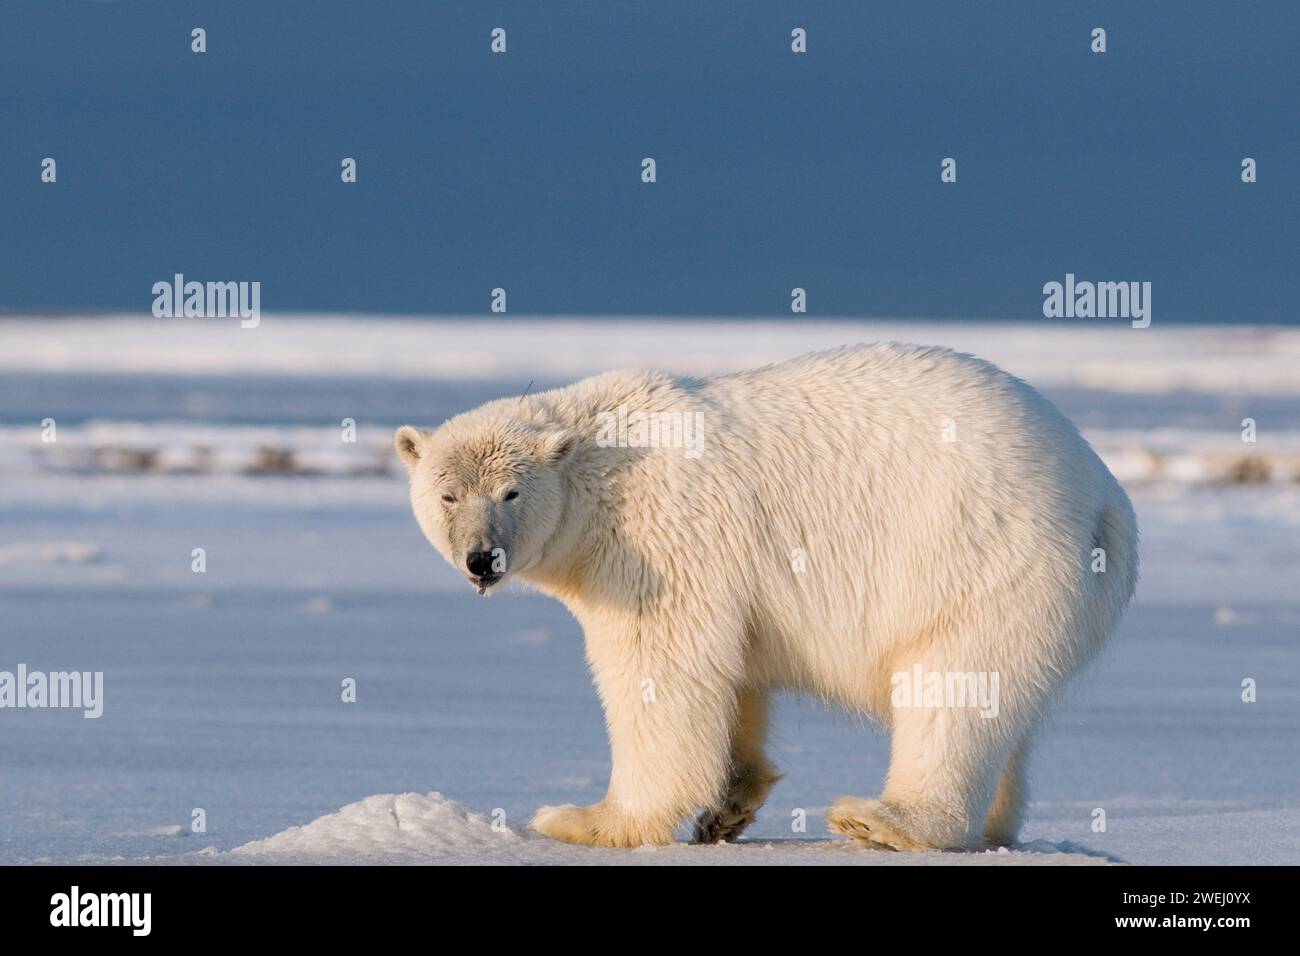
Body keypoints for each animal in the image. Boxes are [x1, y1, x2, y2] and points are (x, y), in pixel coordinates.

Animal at [395, 344, 1138, 851]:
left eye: (511, 492)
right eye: (448, 495)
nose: (481, 558)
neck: (600, 463)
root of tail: (1105, 500)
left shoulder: (660, 543)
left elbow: (660, 669)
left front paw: (587, 819)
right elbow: (735, 675)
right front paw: (728, 804)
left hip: (978, 556)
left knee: (952, 685)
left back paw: (883, 818)